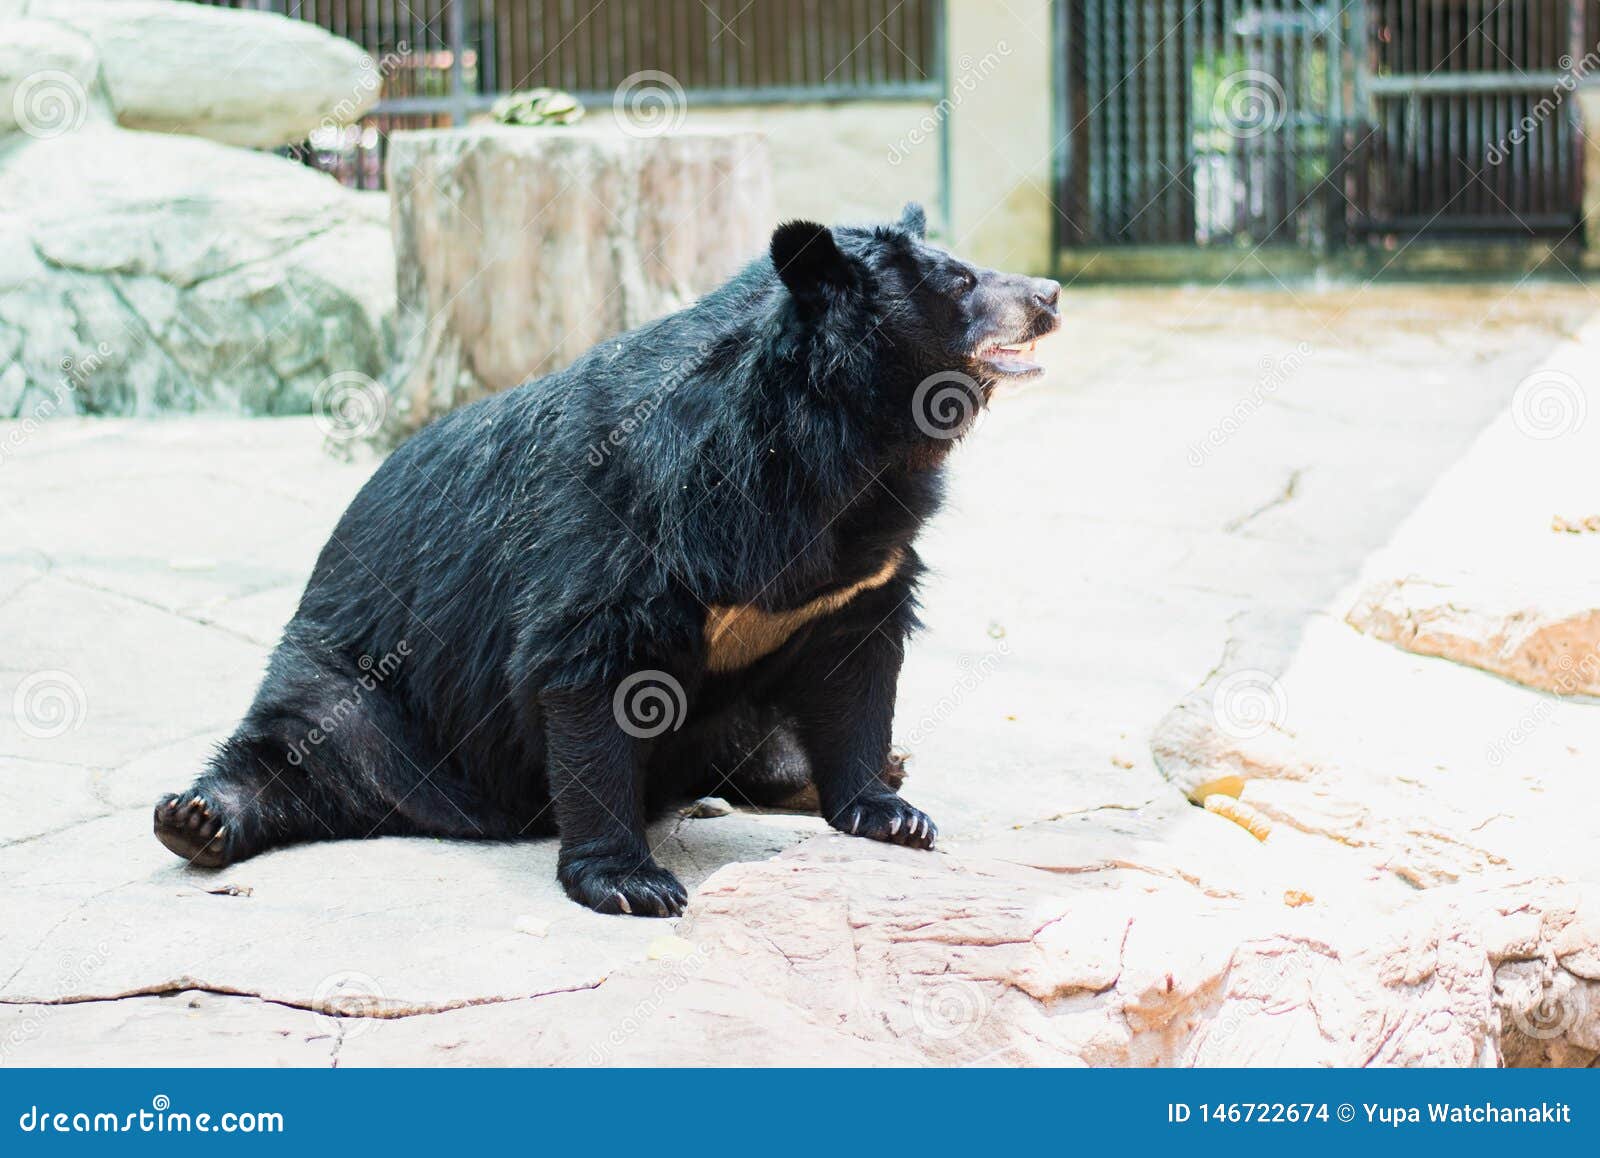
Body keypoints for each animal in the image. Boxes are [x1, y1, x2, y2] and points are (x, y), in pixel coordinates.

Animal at [153, 202, 1061, 917]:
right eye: (960, 283)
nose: (1049, 297)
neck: (833, 447)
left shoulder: (857, 565)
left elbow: (858, 665)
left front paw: (888, 810)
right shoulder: (636, 519)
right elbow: (592, 668)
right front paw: (631, 883)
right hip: (372, 680)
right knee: (309, 748)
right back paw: (196, 818)